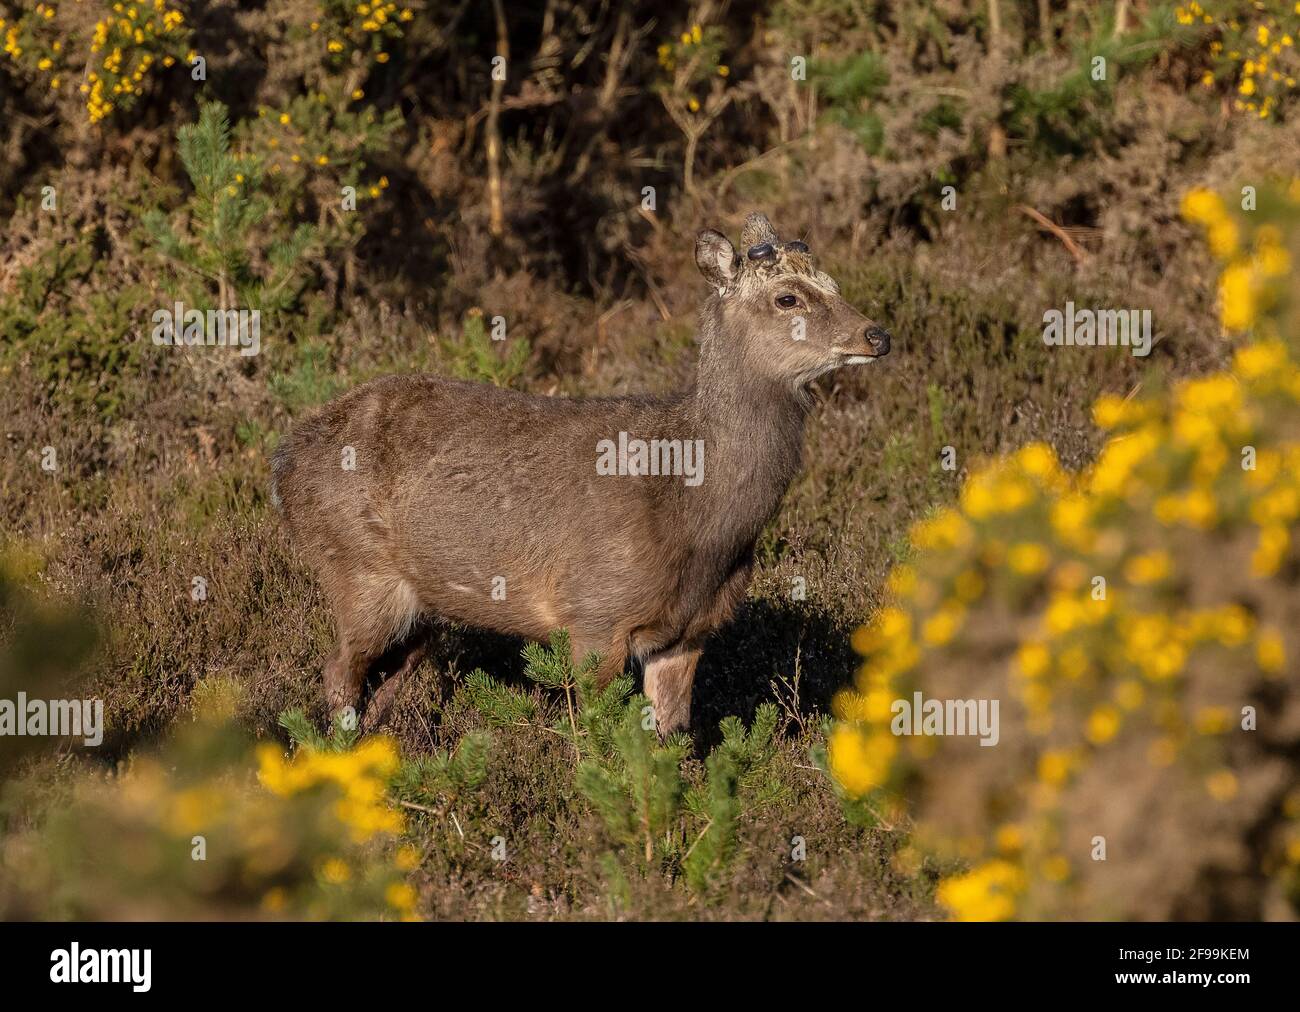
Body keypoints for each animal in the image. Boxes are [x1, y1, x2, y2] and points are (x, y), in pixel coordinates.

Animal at [271, 212, 890, 736]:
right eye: (788, 297)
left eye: (834, 283)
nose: (877, 335)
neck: (693, 512)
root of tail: (284, 459)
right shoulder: (594, 612)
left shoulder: (688, 634)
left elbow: (670, 739)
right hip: (357, 569)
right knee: (339, 672)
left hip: (421, 608)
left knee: (385, 683)